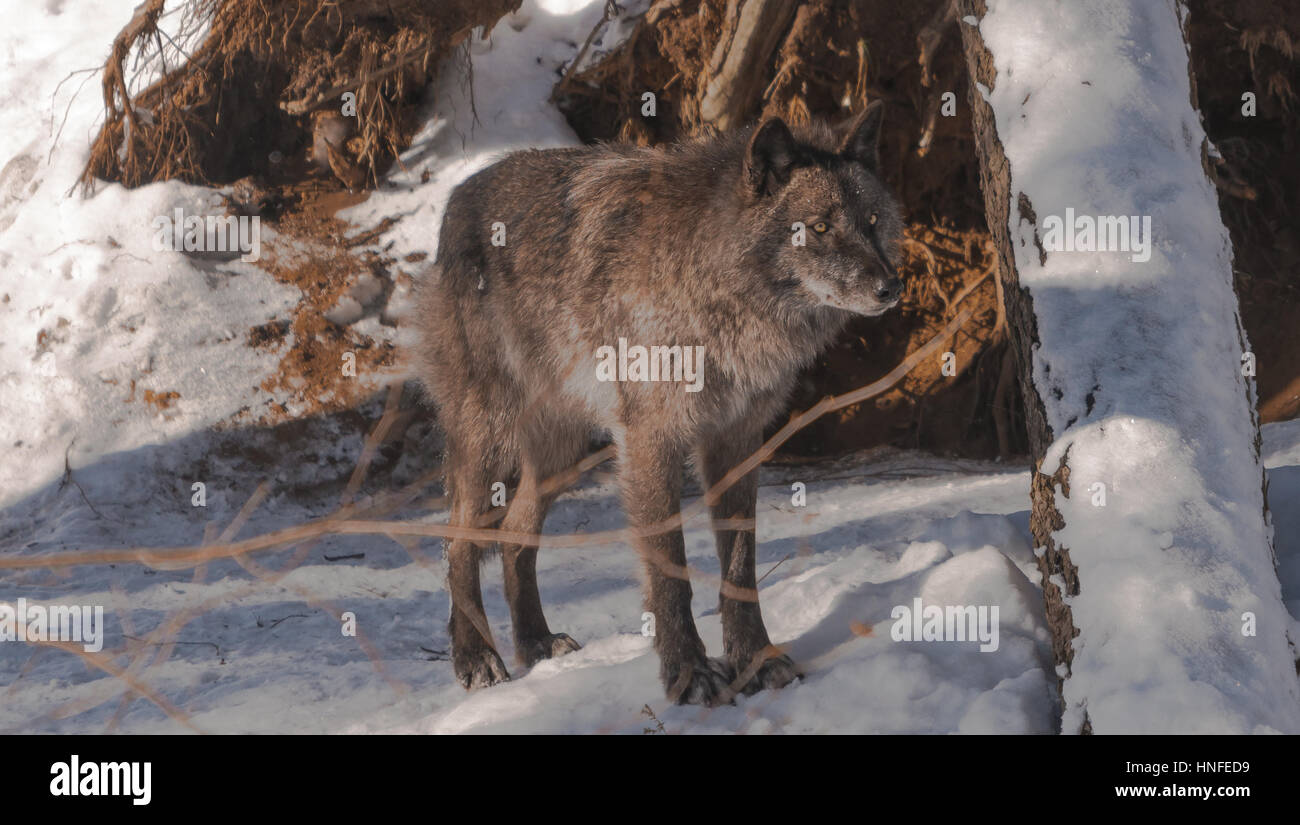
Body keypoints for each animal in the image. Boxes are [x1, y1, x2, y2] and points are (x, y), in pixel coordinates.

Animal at [414, 101, 904, 706]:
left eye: (874, 222)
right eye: (818, 227)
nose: (891, 287)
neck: (715, 288)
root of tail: (457, 199)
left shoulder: (735, 440)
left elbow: (739, 567)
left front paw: (756, 661)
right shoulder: (651, 440)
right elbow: (670, 571)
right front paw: (690, 675)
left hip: (561, 455)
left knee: (513, 537)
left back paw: (537, 644)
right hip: (492, 439)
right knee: (457, 542)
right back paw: (476, 660)